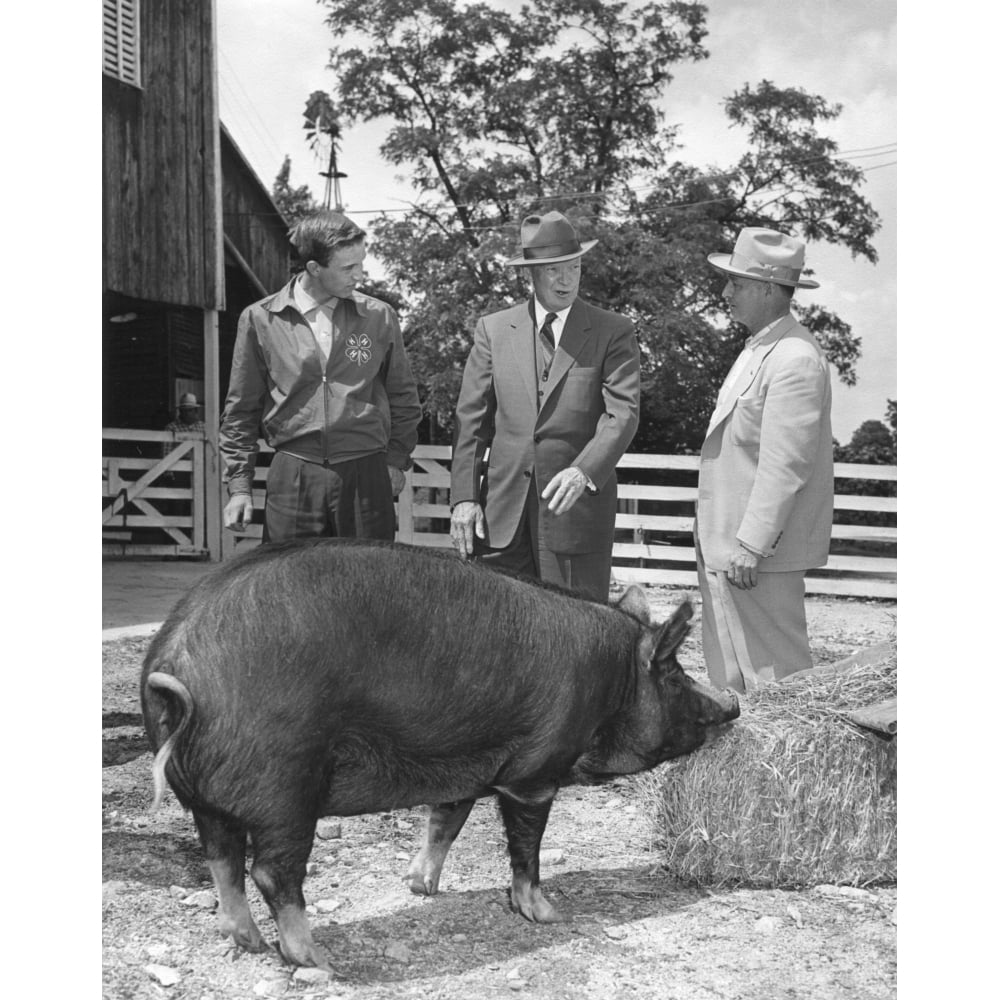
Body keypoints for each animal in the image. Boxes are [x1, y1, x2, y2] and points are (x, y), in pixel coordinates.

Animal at [141, 538, 738, 971]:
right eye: (675, 676)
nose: (732, 702)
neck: (612, 681)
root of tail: (175, 661)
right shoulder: (535, 770)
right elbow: (526, 848)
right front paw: (548, 915)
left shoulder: (466, 767)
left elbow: (444, 822)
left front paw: (421, 888)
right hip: (286, 787)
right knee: (269, 871)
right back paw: (320, 960)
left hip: (207, 800)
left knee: (222, 861)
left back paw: (250, 944)